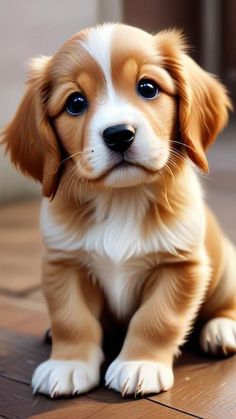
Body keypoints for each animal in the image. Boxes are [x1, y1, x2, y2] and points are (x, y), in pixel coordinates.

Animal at [1, 23, 234, 398]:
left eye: (148, 88)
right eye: (76, 103)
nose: (119, 134)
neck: (121, 199)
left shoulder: (181, 266)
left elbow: (156, 319)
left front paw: (140, 364)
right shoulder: (63, 264)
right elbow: (71, 319)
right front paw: (67, 364)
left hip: (225, 269)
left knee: (226, 304)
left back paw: (221, 329)